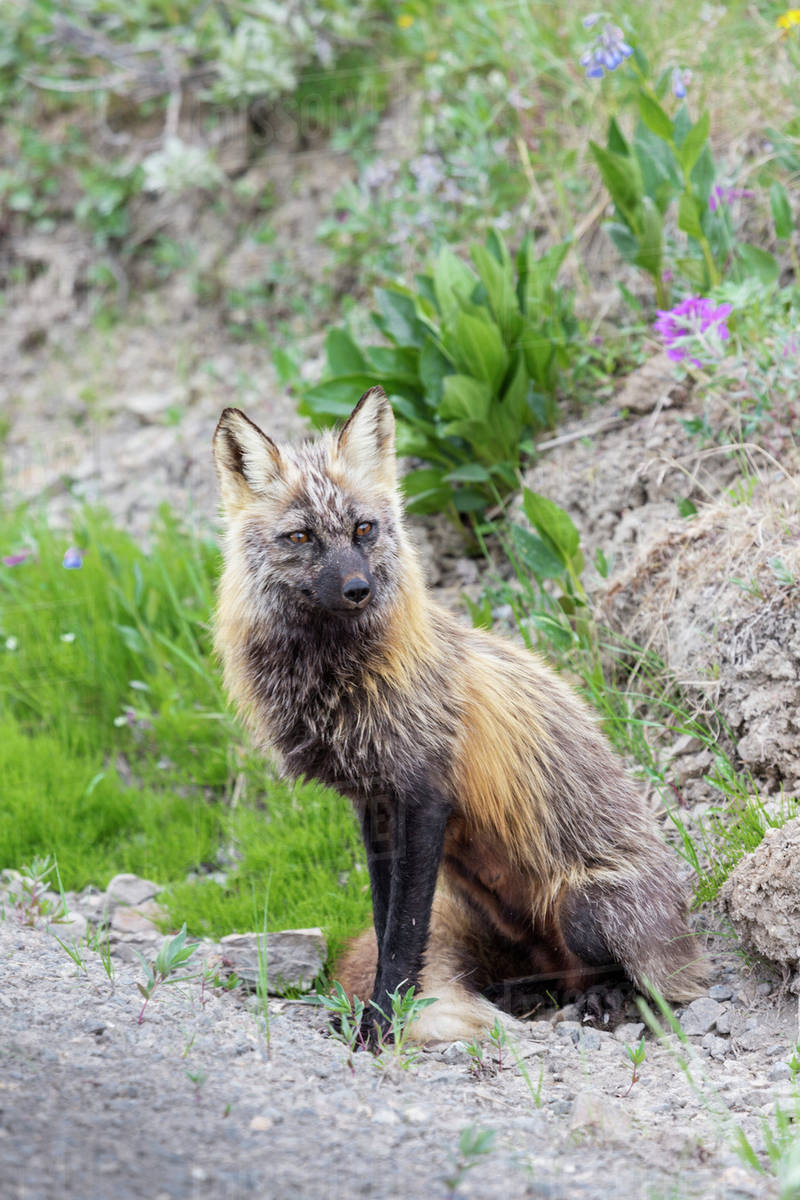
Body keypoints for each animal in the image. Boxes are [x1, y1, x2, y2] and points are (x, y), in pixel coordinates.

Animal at [212, 386, 707, 1045]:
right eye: (300, 537)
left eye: (363, 529)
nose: (358, 589)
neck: (341, 686)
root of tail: (688, 939)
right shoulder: (374, 805)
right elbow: (387, 923)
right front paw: (382, 1016)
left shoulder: (425, 796)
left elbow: (402, 939)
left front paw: (382, 1026)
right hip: (483, 902)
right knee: (539, 976)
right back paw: (522, 994)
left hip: (584, 906)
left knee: (648, 985)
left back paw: (607, 997)